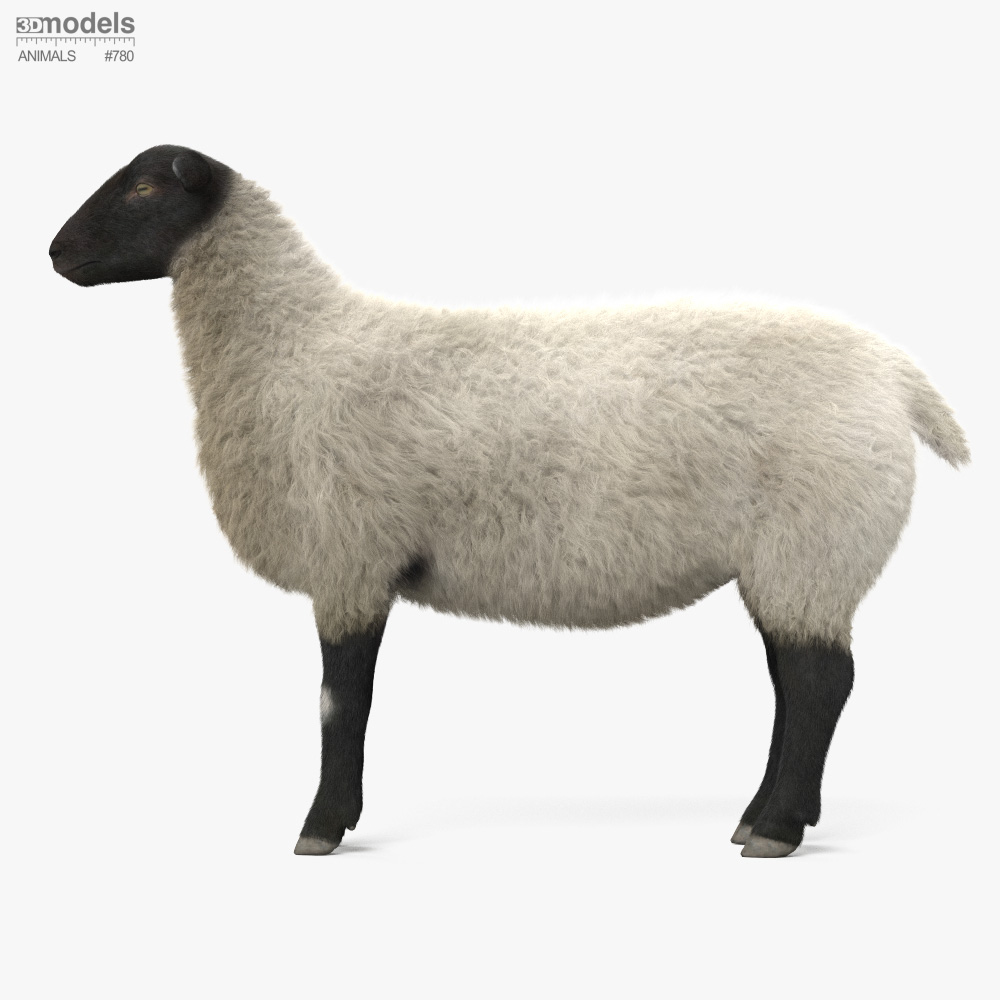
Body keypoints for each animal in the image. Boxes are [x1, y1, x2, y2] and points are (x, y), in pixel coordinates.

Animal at [49, 144, 969, 859]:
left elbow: (340, 705)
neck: (294, 347)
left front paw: (322, 826)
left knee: (820, 684)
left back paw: (774, 829)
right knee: (799, 682)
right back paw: (768, 816)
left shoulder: (350, 557)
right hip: (796, 560)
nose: (55, 253)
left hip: (812, 542)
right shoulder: (354, 561)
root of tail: (894, 375)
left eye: (144, 188)